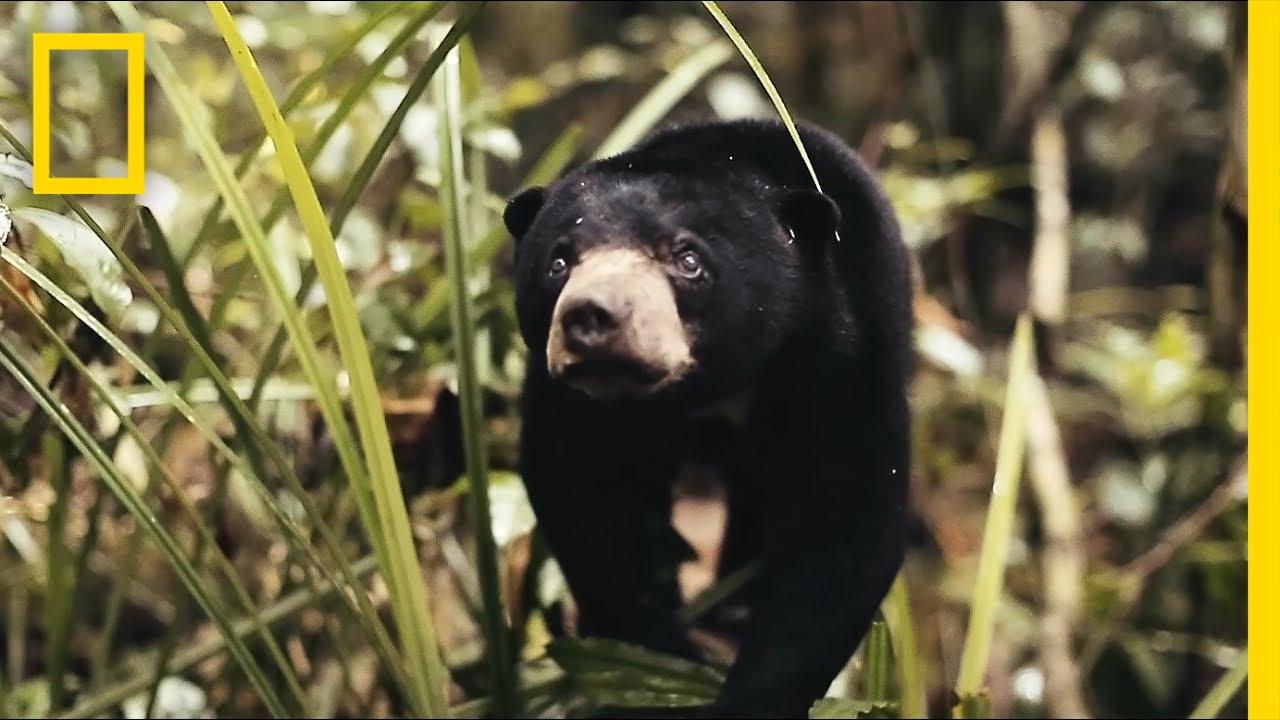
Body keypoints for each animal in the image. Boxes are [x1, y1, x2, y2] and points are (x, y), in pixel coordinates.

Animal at [502, 116, 914, 719]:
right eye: (558, 262)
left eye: (688, 260)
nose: (591, 316)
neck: (710, 388)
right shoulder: (573, 405)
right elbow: (589, 506)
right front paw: (656, 667)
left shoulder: (842, 363)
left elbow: (844, 529)